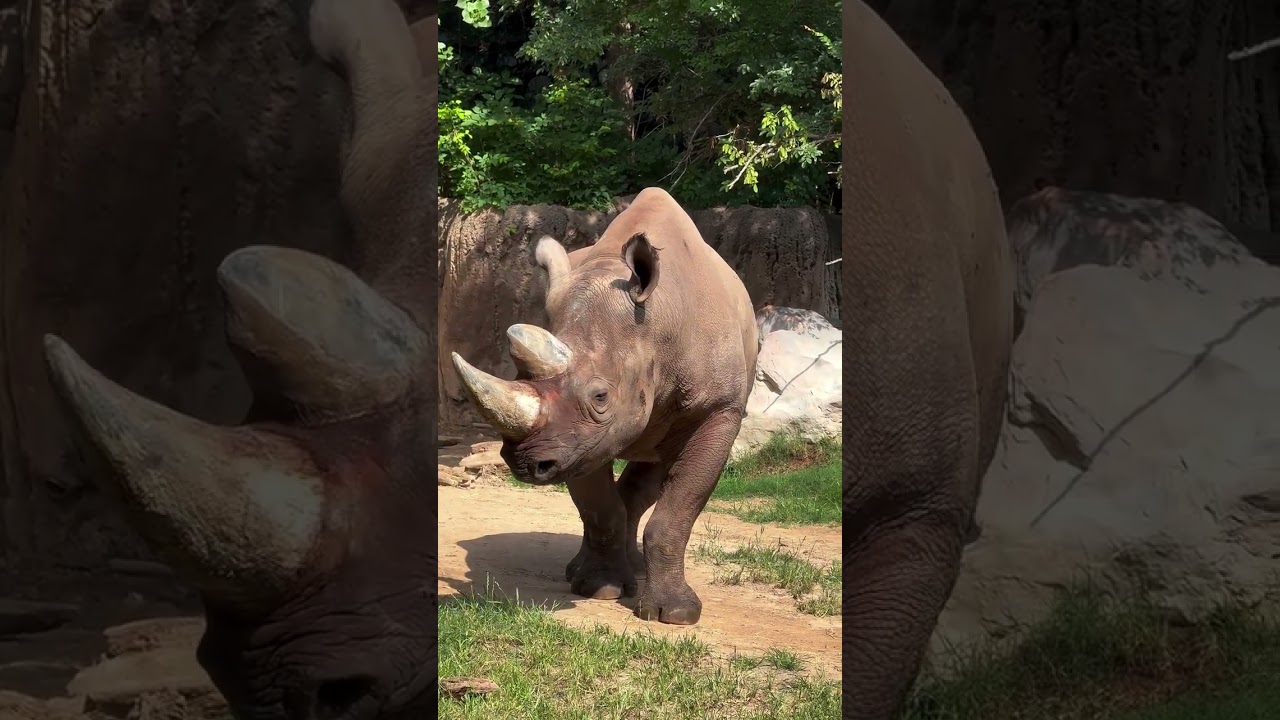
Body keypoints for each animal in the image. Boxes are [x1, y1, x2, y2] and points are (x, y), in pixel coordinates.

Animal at [451, 187, 758, 624]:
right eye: (517, 373)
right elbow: (599, 507)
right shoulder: (576, 439)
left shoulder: (720, 409)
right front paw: (600, 590)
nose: (524, 464)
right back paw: (595, 573)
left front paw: (676, 615)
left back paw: (638, 572)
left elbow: (679, 506)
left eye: (600, 397)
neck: (656, 324)